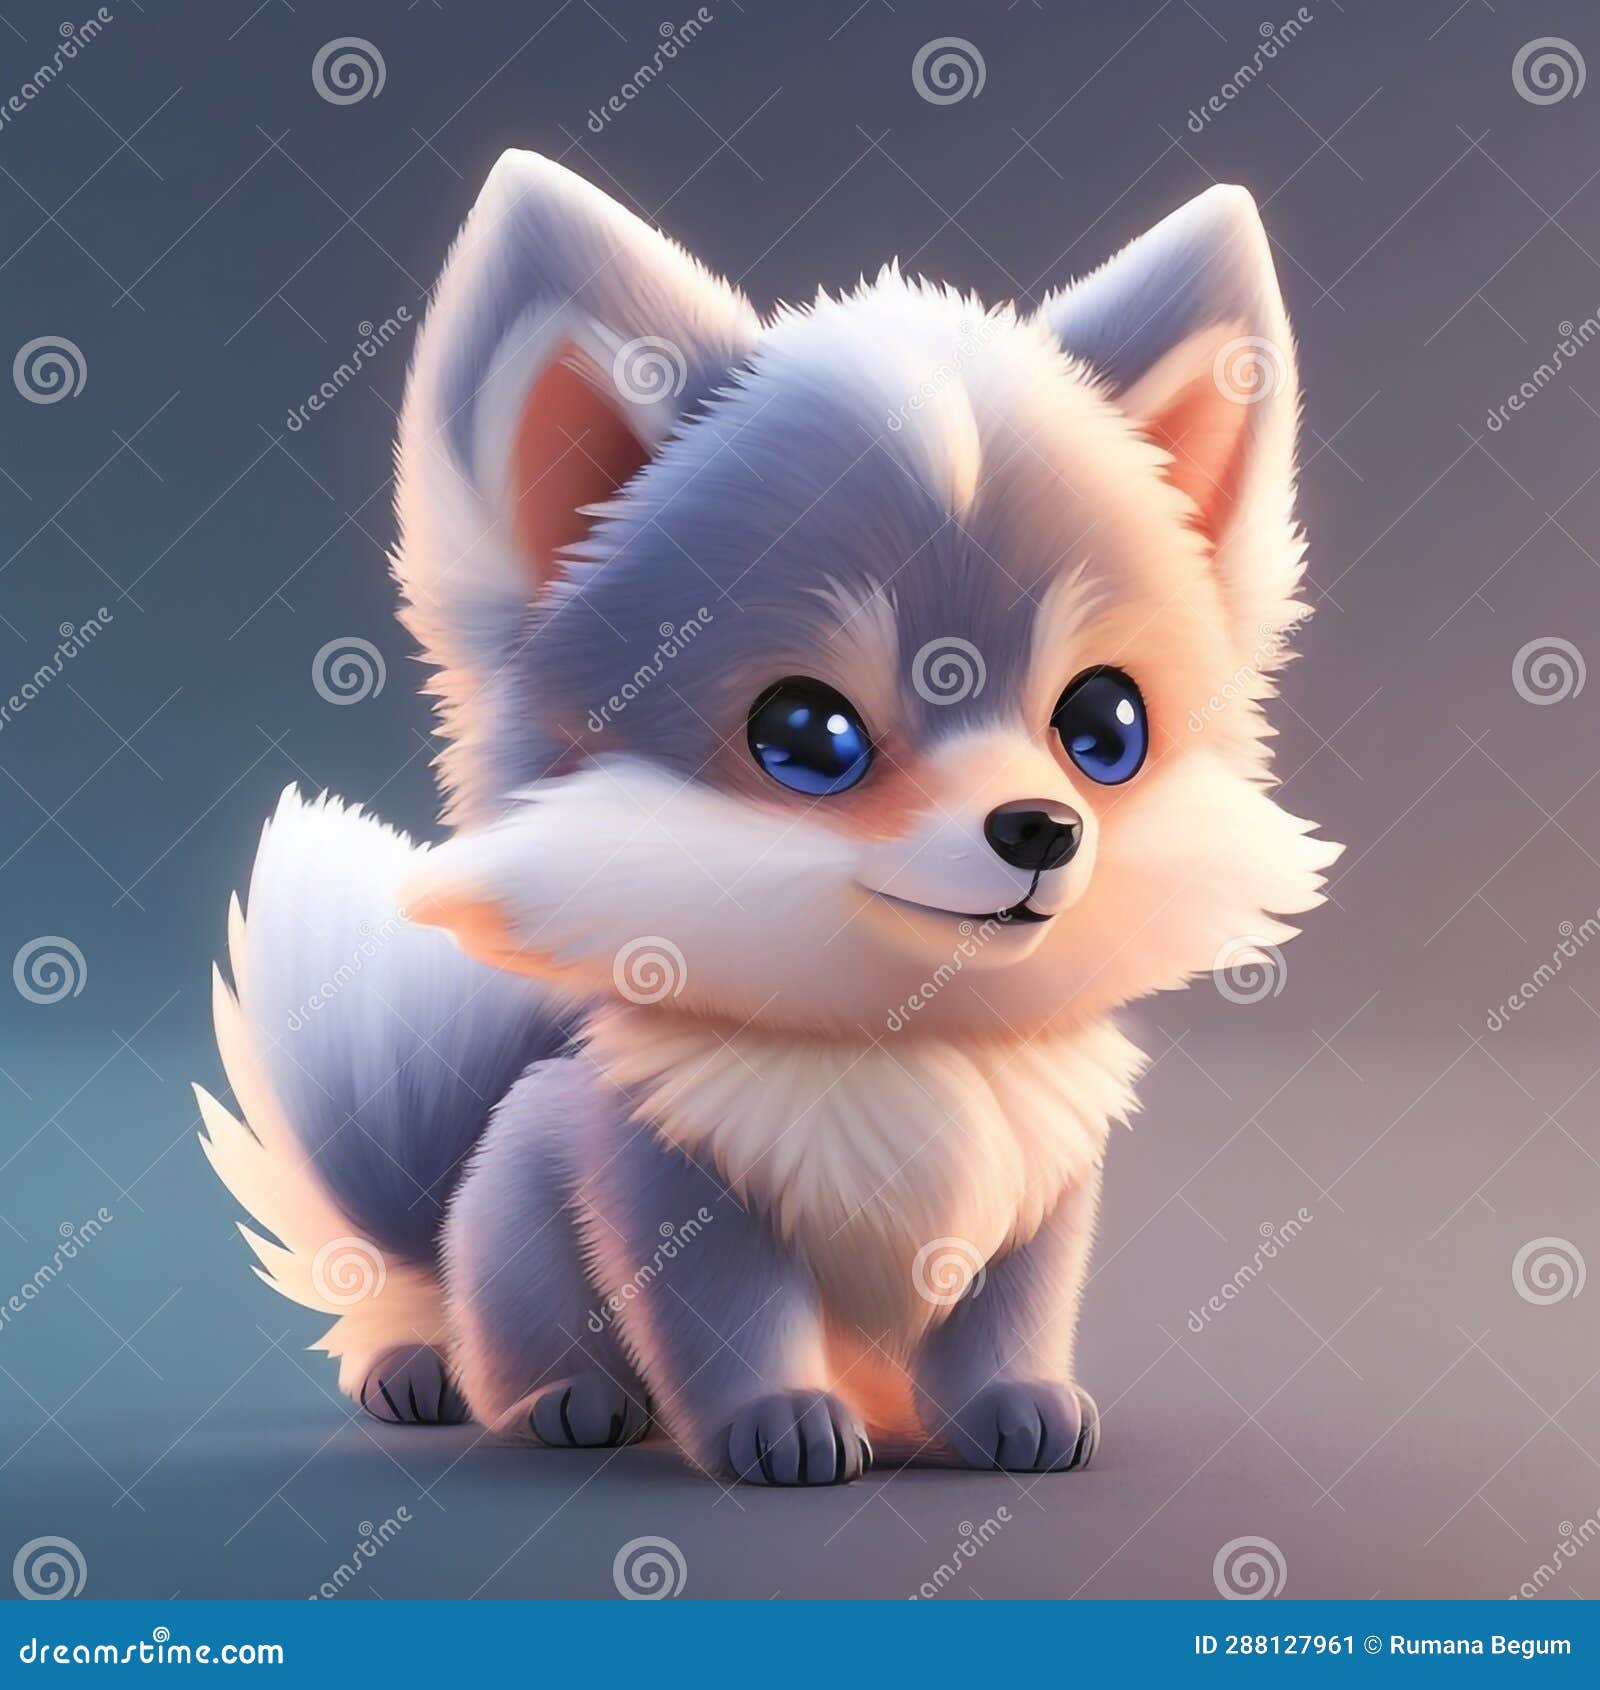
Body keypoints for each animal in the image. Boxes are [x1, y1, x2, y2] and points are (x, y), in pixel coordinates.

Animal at [197, 152, 1338, 1484]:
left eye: (1106, 728)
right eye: (806, 738)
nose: (1040, 826)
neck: (906, 1044)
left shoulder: (1039, 1187)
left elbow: (1011, 1308)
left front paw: (1014, 1406)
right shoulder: (675, 1181)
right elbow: (732, 1318)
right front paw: (779, 1423)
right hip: (516, 1191)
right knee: (485, 1313)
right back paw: (519, 1389)